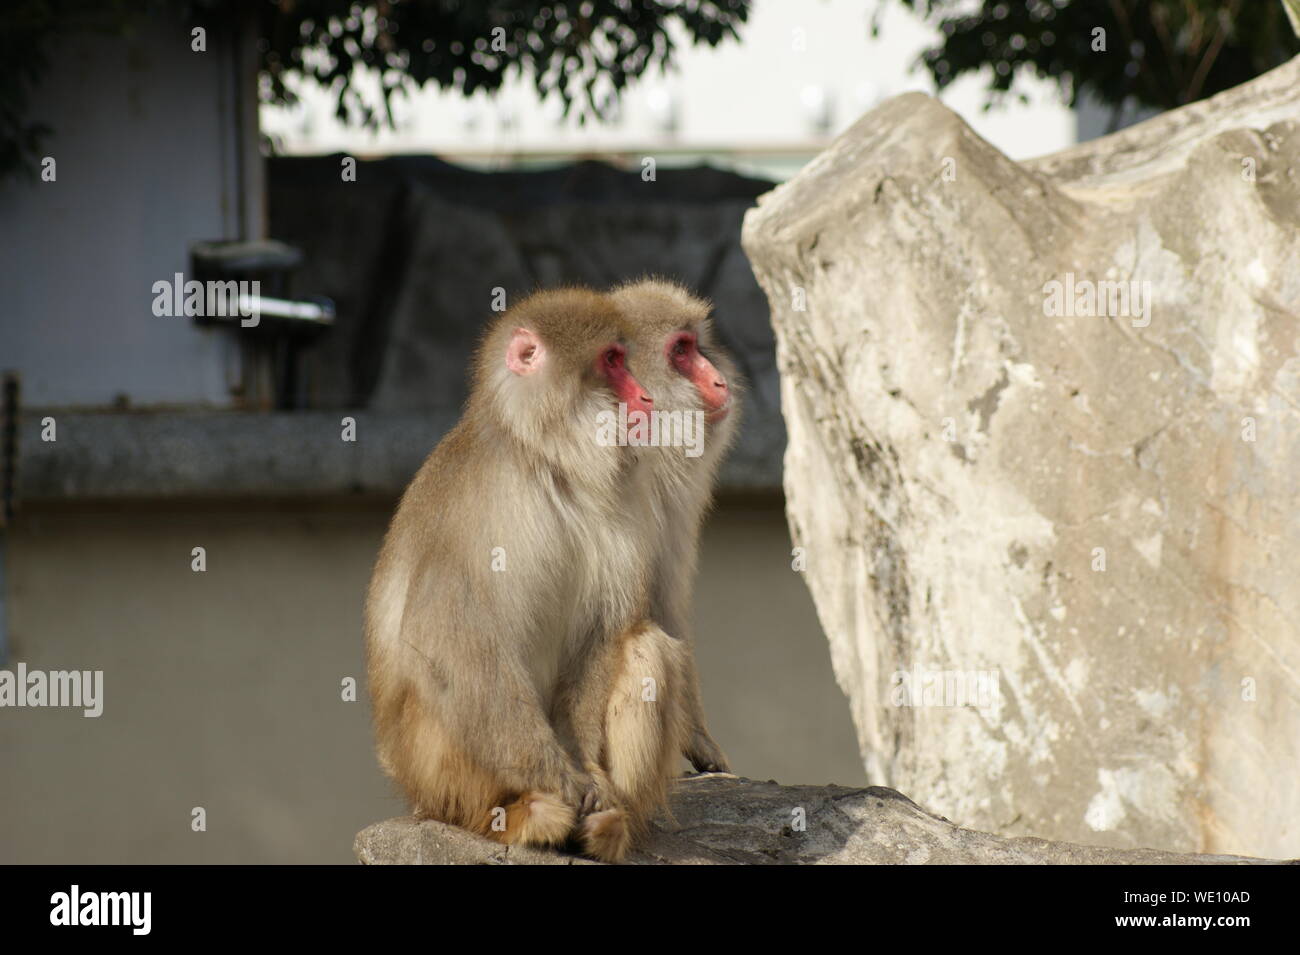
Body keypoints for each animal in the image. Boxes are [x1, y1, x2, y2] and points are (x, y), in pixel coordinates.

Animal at [364, 287, 691, 862]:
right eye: (612, 360)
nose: (645, 398)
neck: (548, 458)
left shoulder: (624, 502)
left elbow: (602, 632)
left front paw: (588, 776)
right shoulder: (480, 497)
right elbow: (448, 633)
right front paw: (557, 780)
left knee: (648, 646)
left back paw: (613, 824)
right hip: (436, 773)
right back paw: (522, 813)